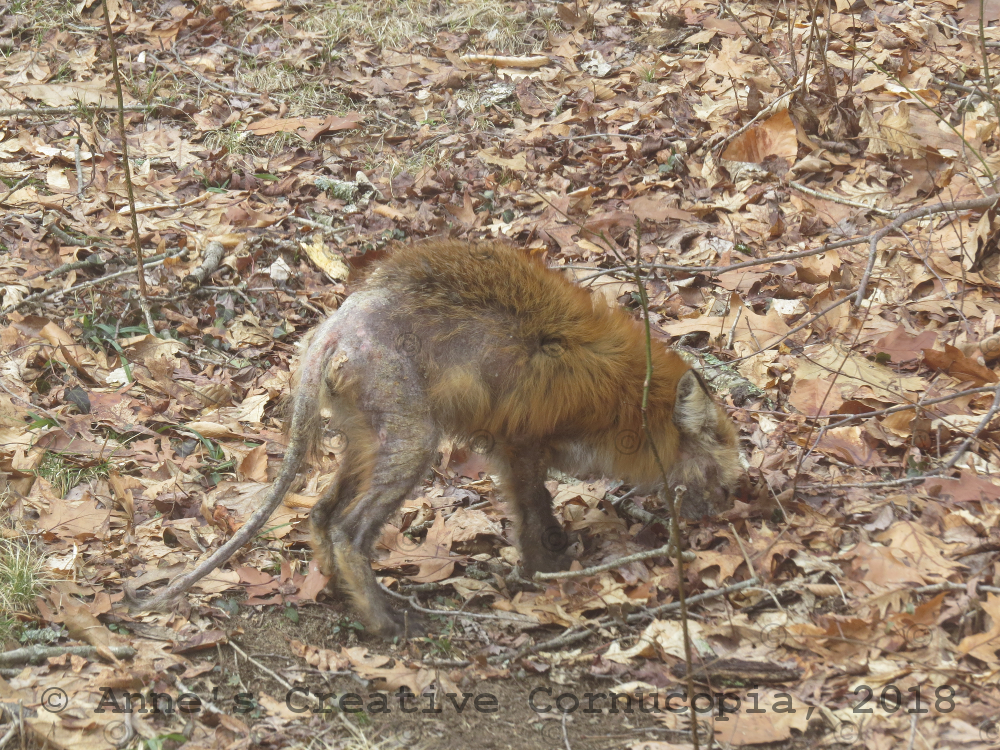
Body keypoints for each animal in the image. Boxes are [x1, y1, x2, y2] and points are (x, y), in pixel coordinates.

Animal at [126, 239, 742, 638]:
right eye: (717, 441)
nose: (741, 494)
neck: (620, 393)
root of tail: (334, 326)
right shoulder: (522, 445)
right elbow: (534, 515)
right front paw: (543, 575)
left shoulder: (515, 449)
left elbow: (535, 513)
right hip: (413, 445)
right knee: (349, 530)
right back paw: (385, 622)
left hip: (368, 442)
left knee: (321, 514)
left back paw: (342, 594)